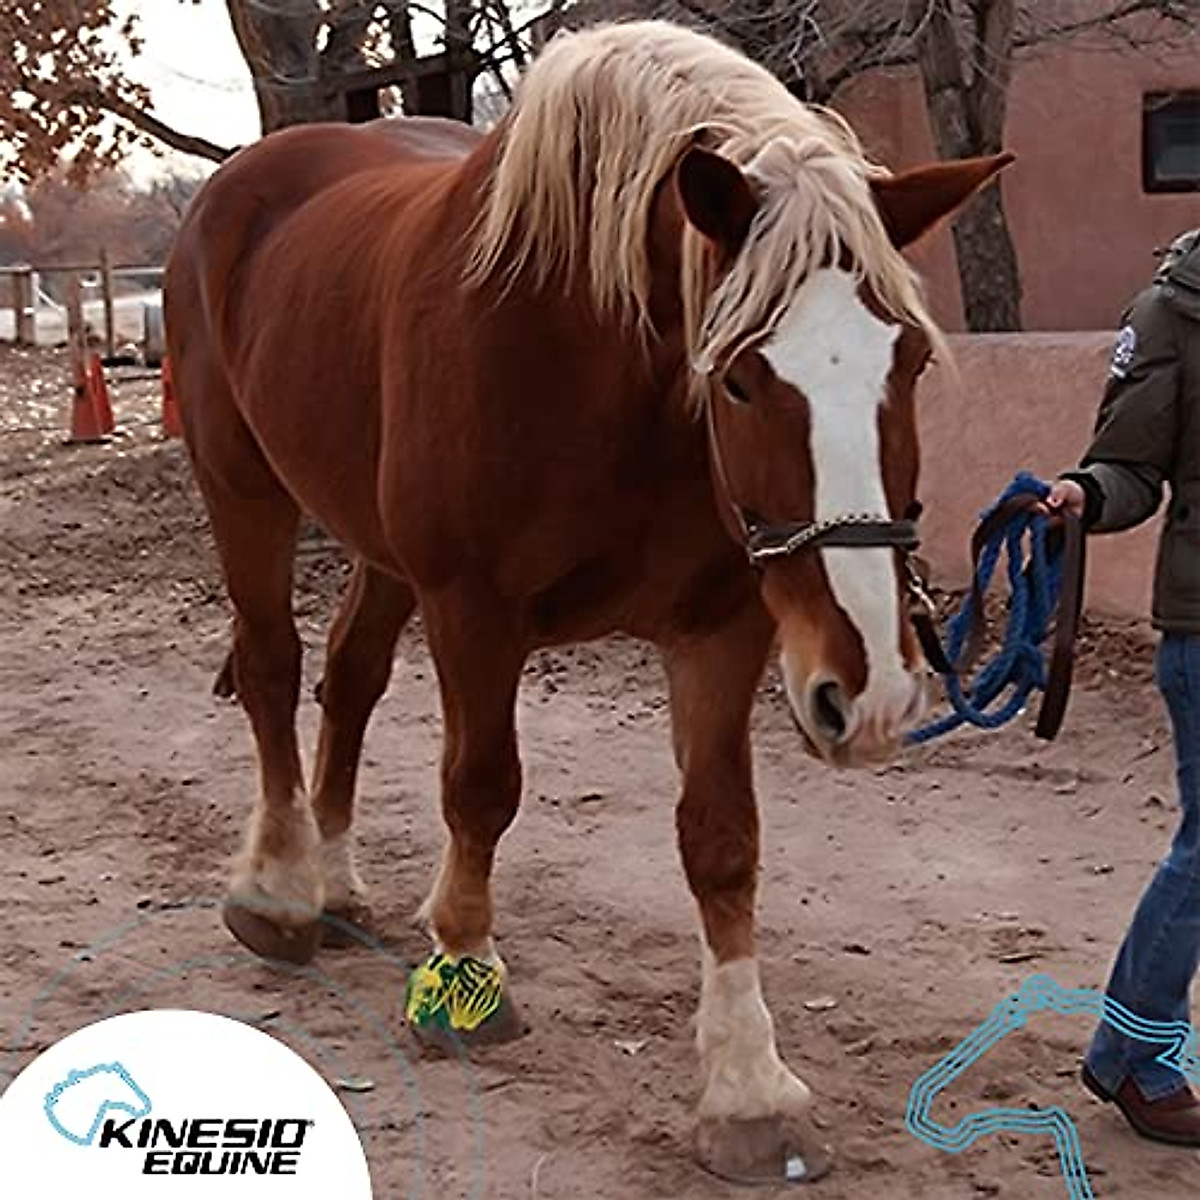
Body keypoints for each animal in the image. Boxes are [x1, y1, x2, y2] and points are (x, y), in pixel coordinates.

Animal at [165, 19, 1011, 1184]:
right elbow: (481, 789)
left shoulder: (723, 626)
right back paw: (279, 891)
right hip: (243, 491)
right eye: (740, 376)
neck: (591, 361)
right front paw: (464, 974)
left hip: (378, 550)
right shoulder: (473, 608)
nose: (875, 691)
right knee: (272, 666)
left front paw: (747, 1088)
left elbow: (722, 838)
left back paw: (332, 882)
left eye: (914, 360)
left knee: (350, 674)